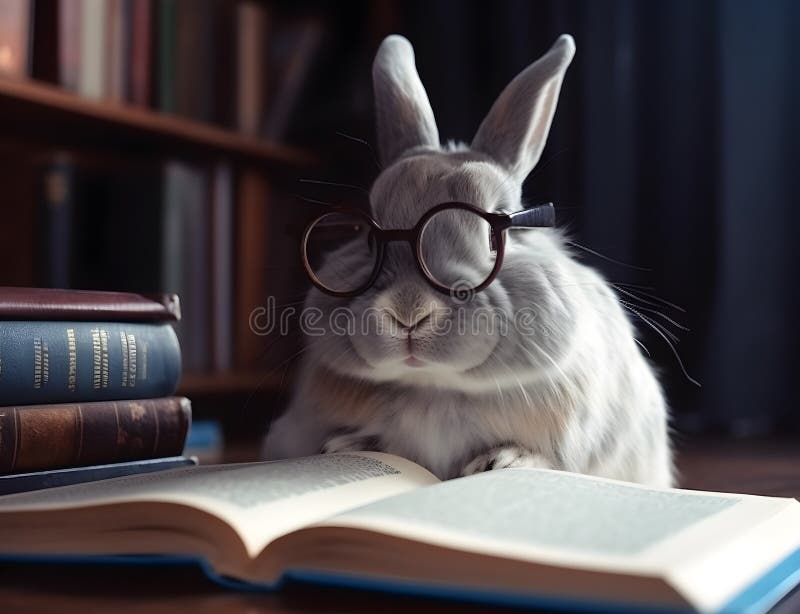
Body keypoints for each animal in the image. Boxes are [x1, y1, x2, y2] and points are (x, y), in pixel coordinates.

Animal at [263, 34, 674, 487]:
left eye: (496, 233)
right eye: (370, 238)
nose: (409, 311)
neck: (434, 386)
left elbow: (550, 459)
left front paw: (502, 461)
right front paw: (347, 447)